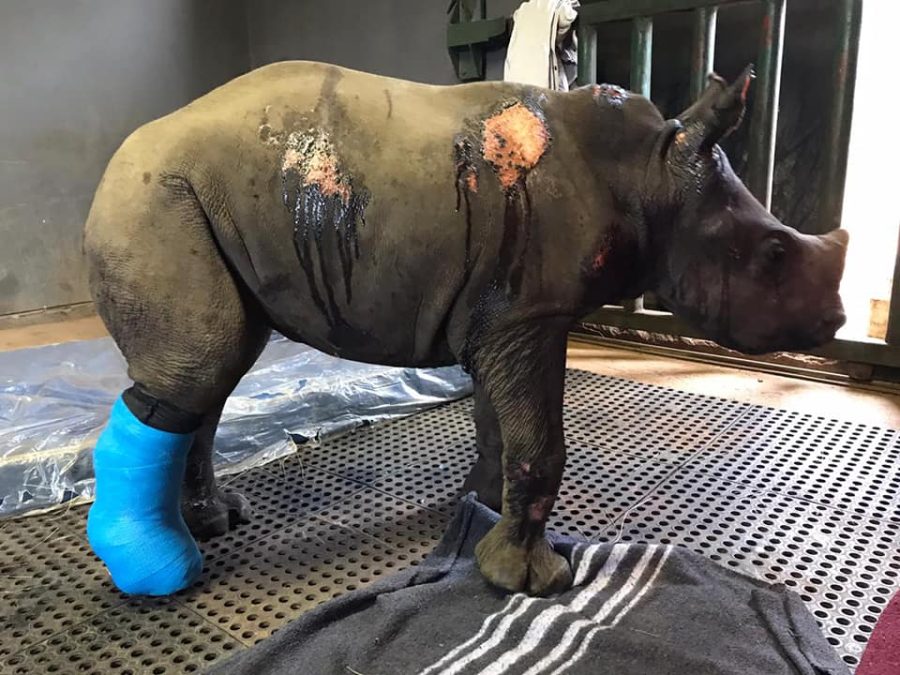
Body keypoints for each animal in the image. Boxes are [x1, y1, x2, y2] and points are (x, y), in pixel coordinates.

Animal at [83, 61, 847, 596]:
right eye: (774, 255)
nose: (835, 320)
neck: (653, 173)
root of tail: (115, 162)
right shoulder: (527, 314)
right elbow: (540, 442)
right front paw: (530, 582)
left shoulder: (504, 313)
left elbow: (497, 423)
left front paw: (480, 504)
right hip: (156, 199)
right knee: (197, 367)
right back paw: (159, 570)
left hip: (194, 201)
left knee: (211, 371)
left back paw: (214, 521)